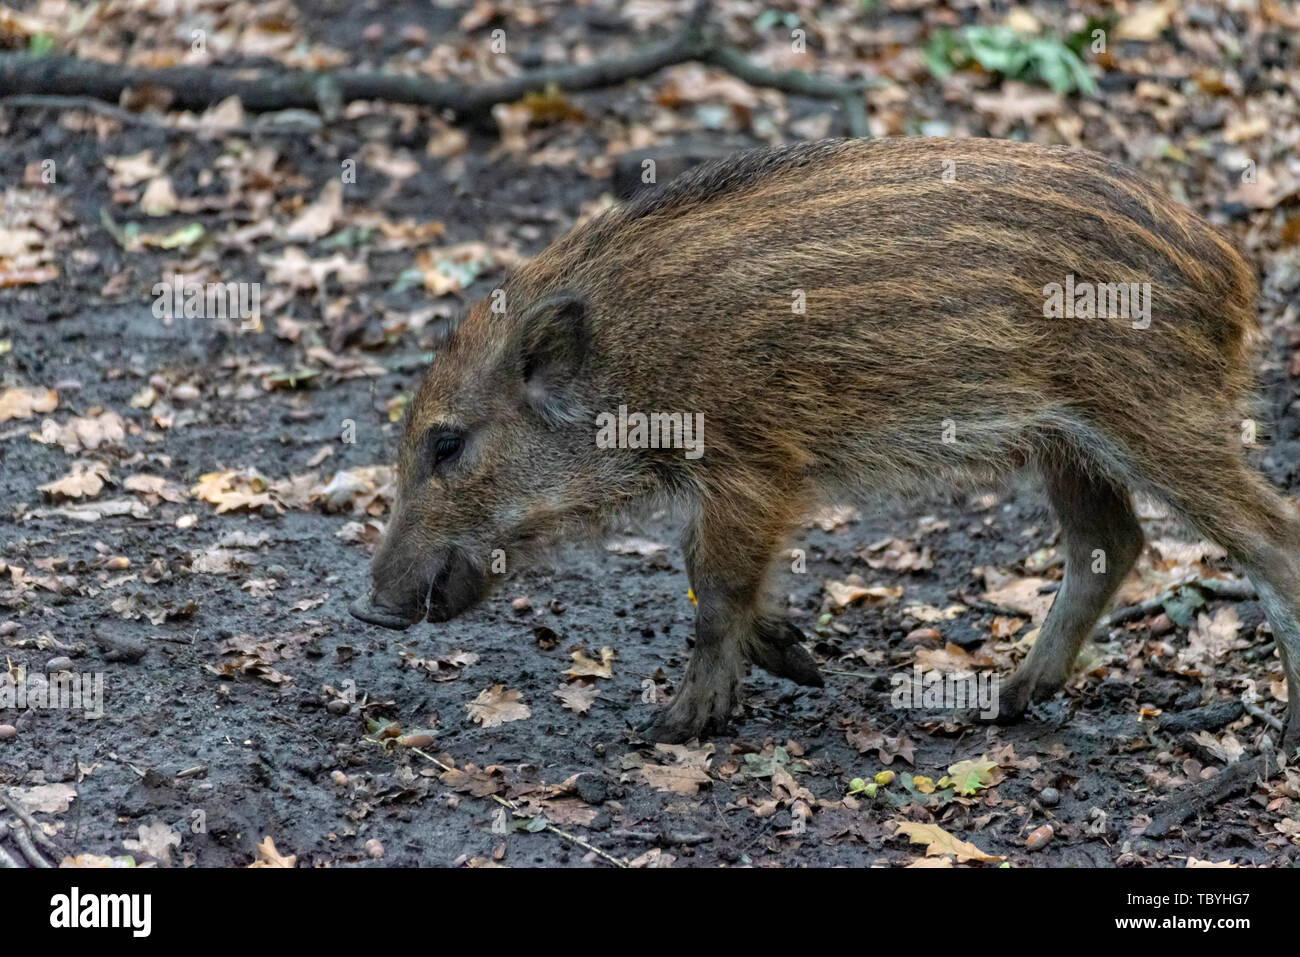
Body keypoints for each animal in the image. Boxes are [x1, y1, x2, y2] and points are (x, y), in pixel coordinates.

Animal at [350, 137, 1300, 747]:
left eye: (446, 445)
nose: (370, 608)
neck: (630, 363)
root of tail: (1234, 268)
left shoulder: (755, 461)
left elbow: (713, 585)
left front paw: (674, 725)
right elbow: (709, 574)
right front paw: (795, 659)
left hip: (1158, 412)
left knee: (1269, 537)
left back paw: (1280, 739)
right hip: (1065, 440)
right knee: (1112, 541)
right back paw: (1006, 699)